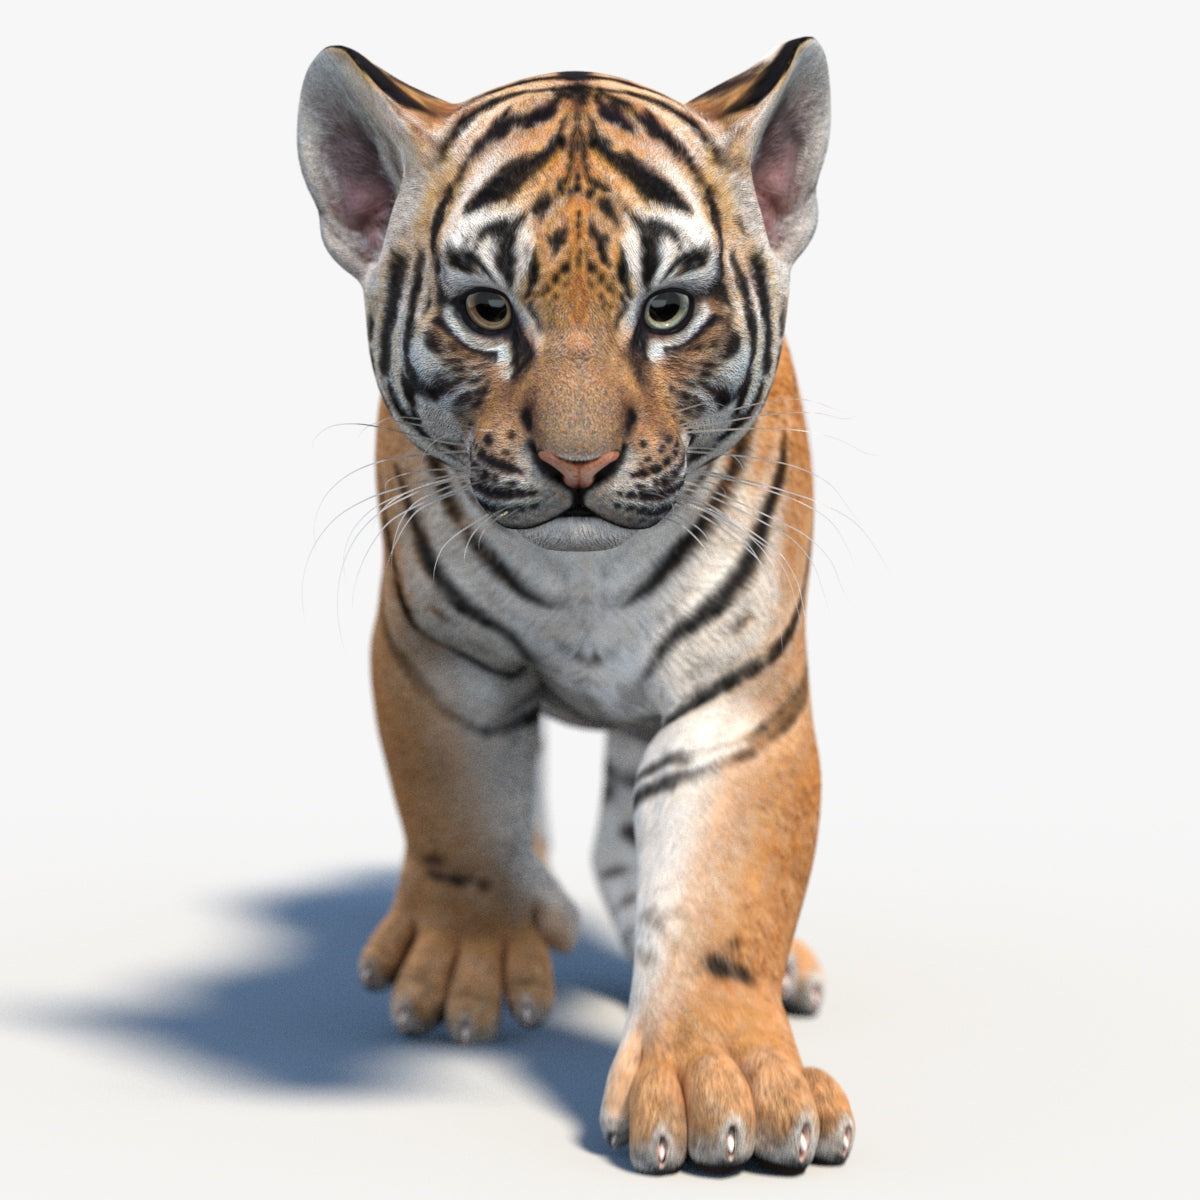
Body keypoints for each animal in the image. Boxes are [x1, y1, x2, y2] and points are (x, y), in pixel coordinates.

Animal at [297, 37, 853, 1173]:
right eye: (488, 312)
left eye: (667, 310)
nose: (579, 466)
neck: (585, 577)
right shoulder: (442, 659)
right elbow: (461, 808)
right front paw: (463, 969)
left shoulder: (737, 702)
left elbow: (726, 887)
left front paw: (722, 1082)